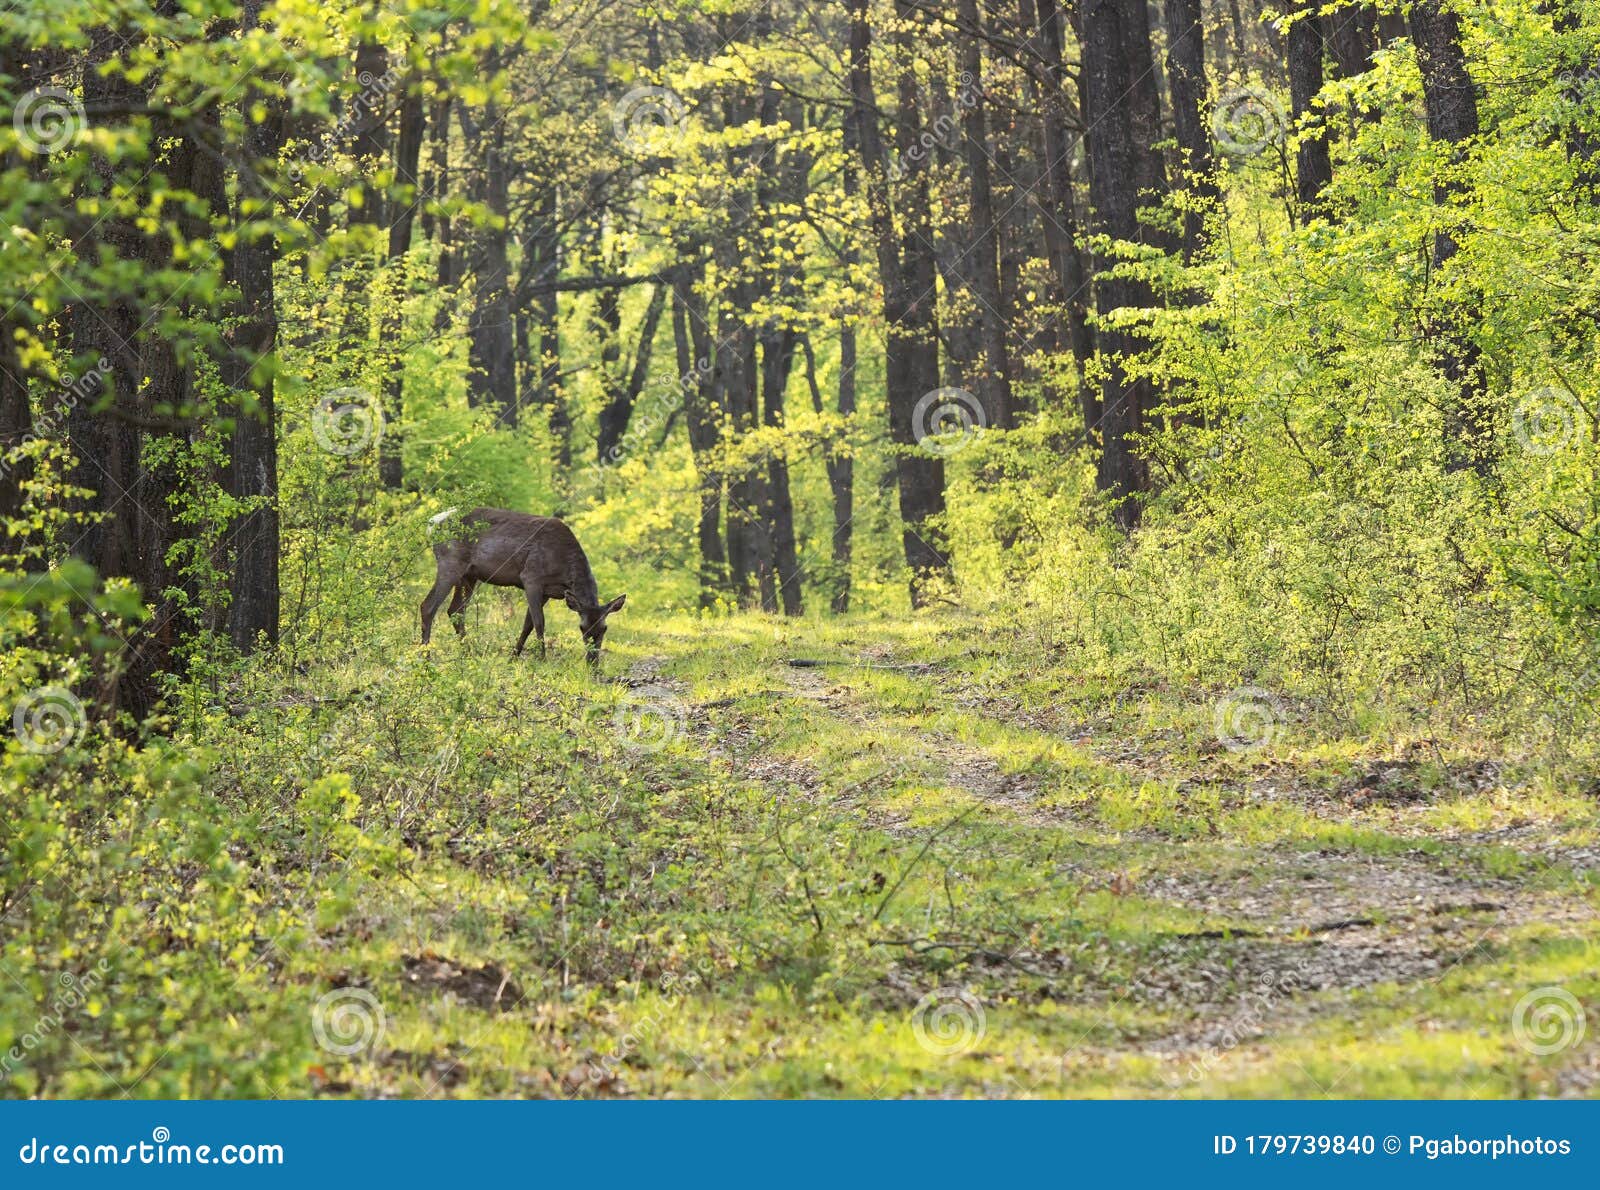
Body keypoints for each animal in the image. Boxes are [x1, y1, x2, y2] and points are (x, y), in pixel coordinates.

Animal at [420, 507, 625, 665]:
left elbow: (528, 624)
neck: (564, 567)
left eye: (604, 628)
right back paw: (426, 657)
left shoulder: (547, 592)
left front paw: (513, 657)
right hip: (450, 562)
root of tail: (432, 524)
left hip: (470, 575)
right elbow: (539, 622)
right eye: (582, 628)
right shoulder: (531, 577)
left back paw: (468, 653)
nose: (593, 661)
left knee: (455, 610)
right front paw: (542, 659)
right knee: (428, 606)